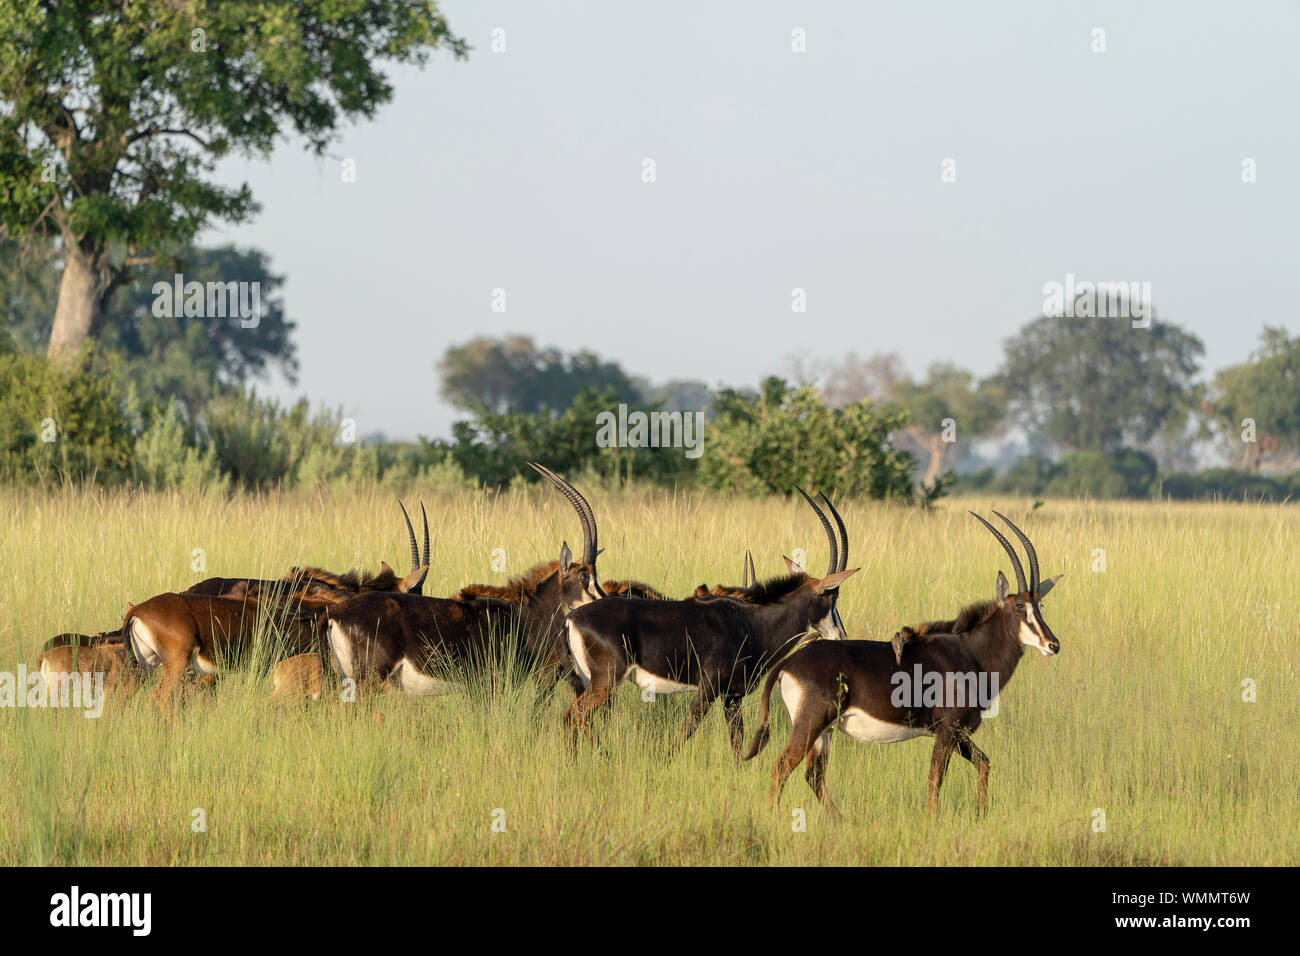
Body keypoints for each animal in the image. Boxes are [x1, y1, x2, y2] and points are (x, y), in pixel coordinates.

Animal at [561, 489, 858, 757]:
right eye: (833, 595)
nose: (841, 635)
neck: (752, 623)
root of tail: (573, 618)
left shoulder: (732, 696)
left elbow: (737, 744)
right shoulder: (709, 688)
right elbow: (685, 732)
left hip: (589, 681)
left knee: (576, 718)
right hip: (606, 680)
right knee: (574, 716)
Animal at [744, 511, 1061, 815]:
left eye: (1040, 605)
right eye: (1019, 606)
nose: (1053, 645)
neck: (971, 653)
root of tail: (788, 663)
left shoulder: (959, 734)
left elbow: (984, 764)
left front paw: (981, 815)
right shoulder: (947, 731)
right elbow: (935, 779)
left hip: (825, 730)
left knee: (813, 775)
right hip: (811, 724)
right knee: (782, 767)